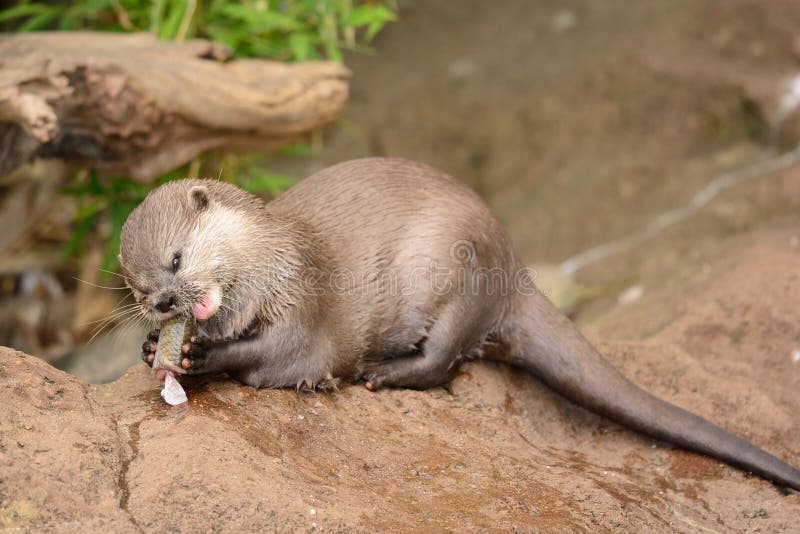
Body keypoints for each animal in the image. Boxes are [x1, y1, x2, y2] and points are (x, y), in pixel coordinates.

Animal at [120, 157, 800, 490]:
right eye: (139, 287)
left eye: (176, 259)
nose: (166, 303)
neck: (272, 261)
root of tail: (511, 261)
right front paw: (155, 347)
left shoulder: (302, 307)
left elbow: (284, 355)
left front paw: (205, 358)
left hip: (454, 272)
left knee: (446, 359)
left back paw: (383, 372)